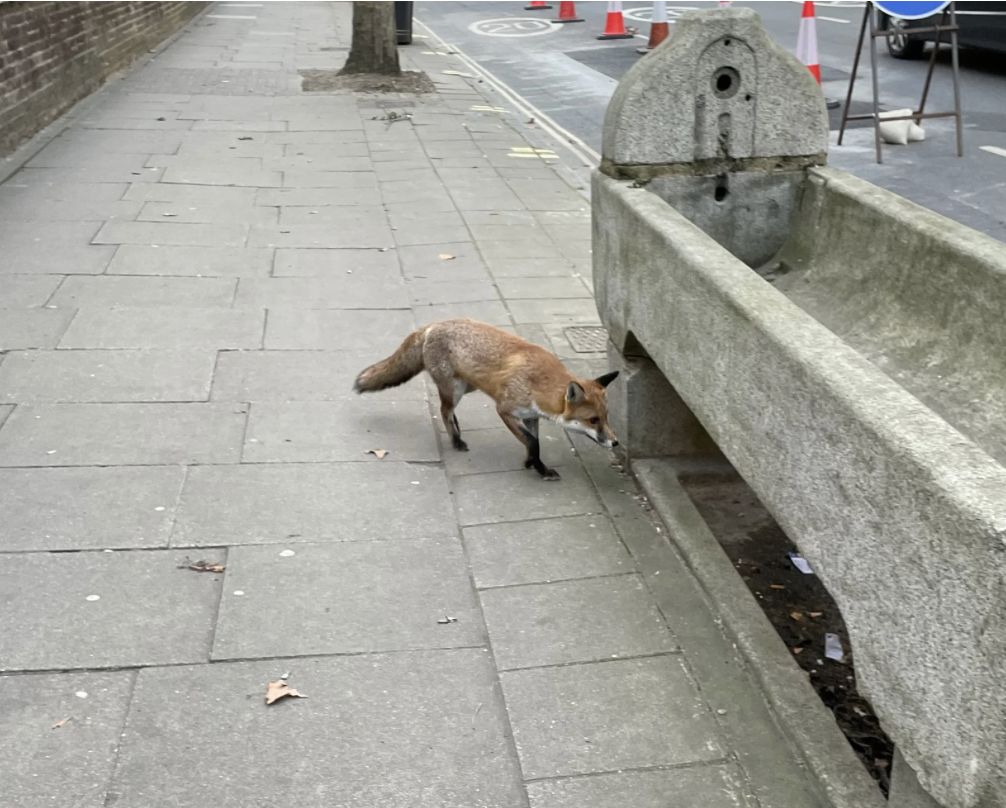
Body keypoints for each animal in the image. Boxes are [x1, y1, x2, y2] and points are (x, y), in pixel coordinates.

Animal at [354, 319, 619, 480]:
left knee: (449, 412)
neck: (538, 382)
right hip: (455, 389)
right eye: (593, 420)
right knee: (444, 412)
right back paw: (456, 441)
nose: (616, 443)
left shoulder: (530, 416)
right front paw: (538, 468)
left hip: (467, 387)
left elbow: (533, 441)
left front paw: (533, 464)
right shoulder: (505, 410)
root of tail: (431, 326)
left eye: (606, 417)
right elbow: (532, 442)